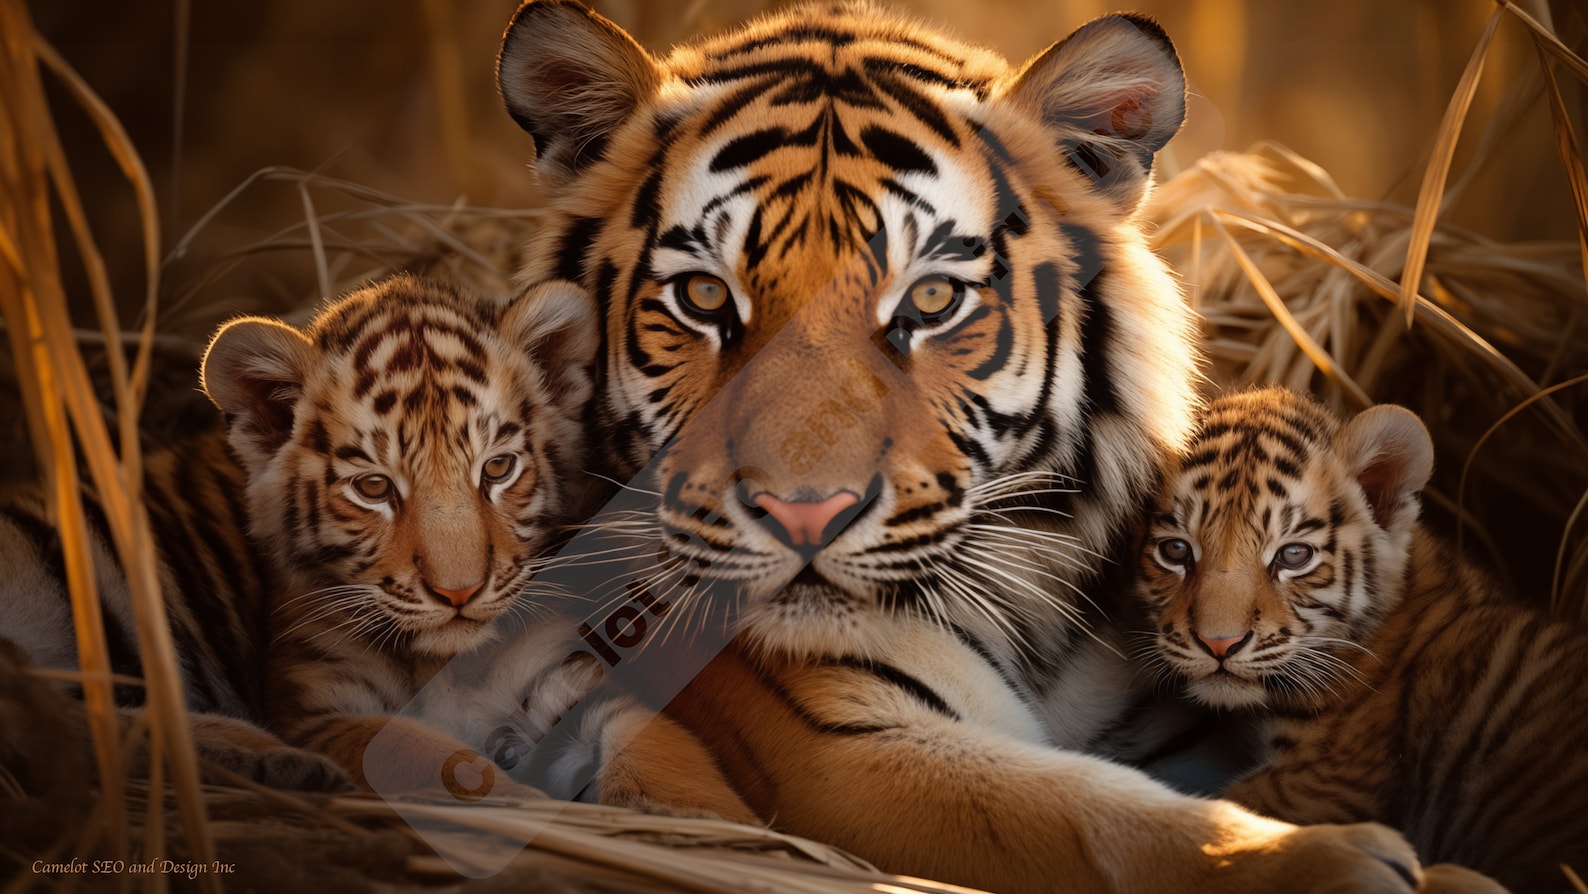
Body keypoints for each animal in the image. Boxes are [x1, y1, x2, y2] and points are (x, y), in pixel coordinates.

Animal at [491, 2, 1448, 891]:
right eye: (702, 296)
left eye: (930, 301)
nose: (806, 515)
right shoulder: (844, 751)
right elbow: (1087, 814)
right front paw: (1346, 861)